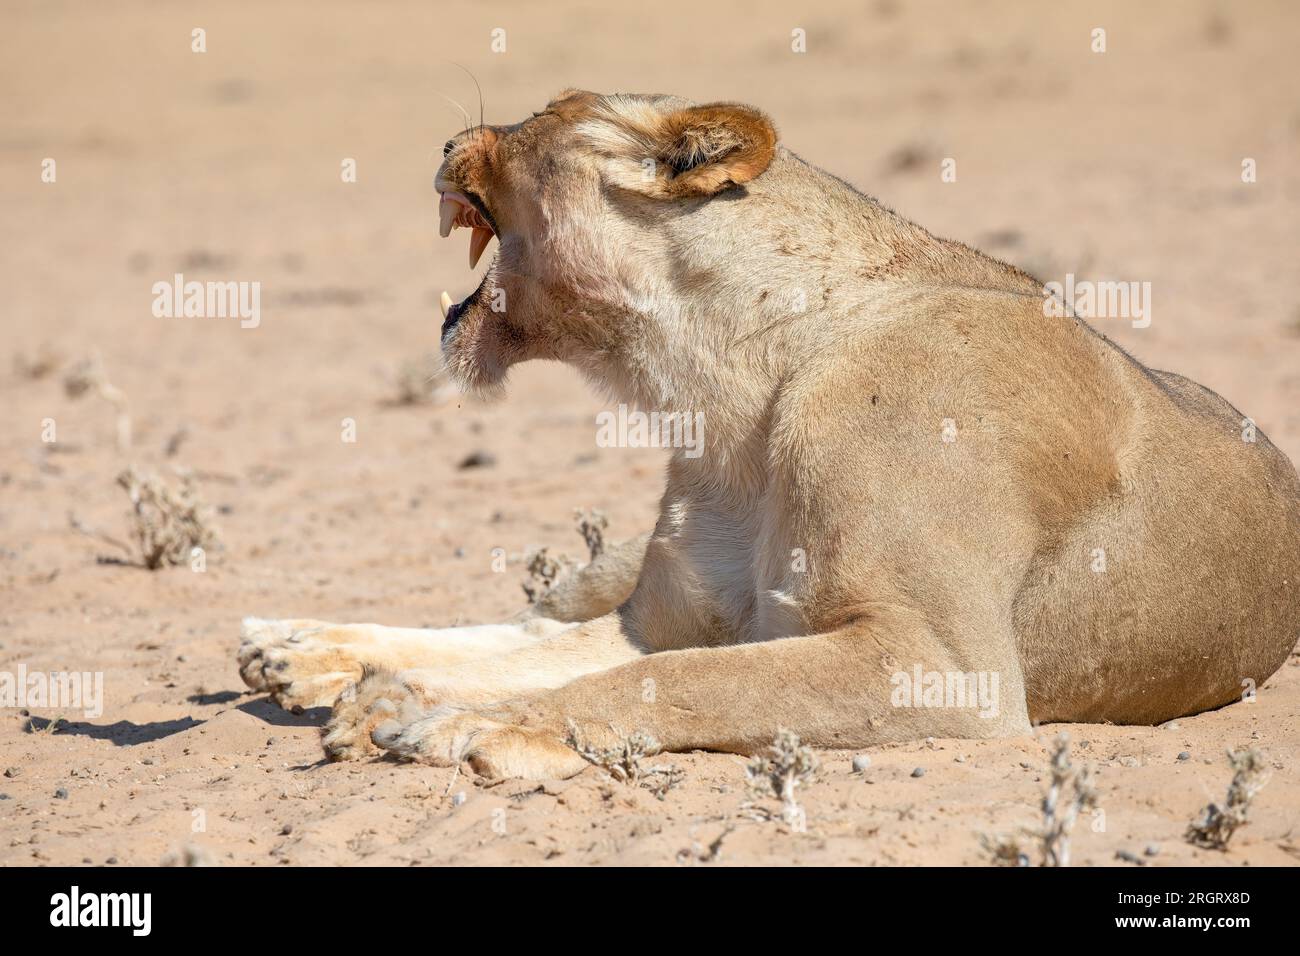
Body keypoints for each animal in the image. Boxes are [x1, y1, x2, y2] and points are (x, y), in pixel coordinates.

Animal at [238, 90, 1300, 780]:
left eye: (538, 116)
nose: (449, 138)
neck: (722, 387)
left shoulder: (947, 665)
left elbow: (675, 680)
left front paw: (475, 727)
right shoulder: (666, 614)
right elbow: (627, 656)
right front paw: (402, 700)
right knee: (536, 615)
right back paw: (298, 651)